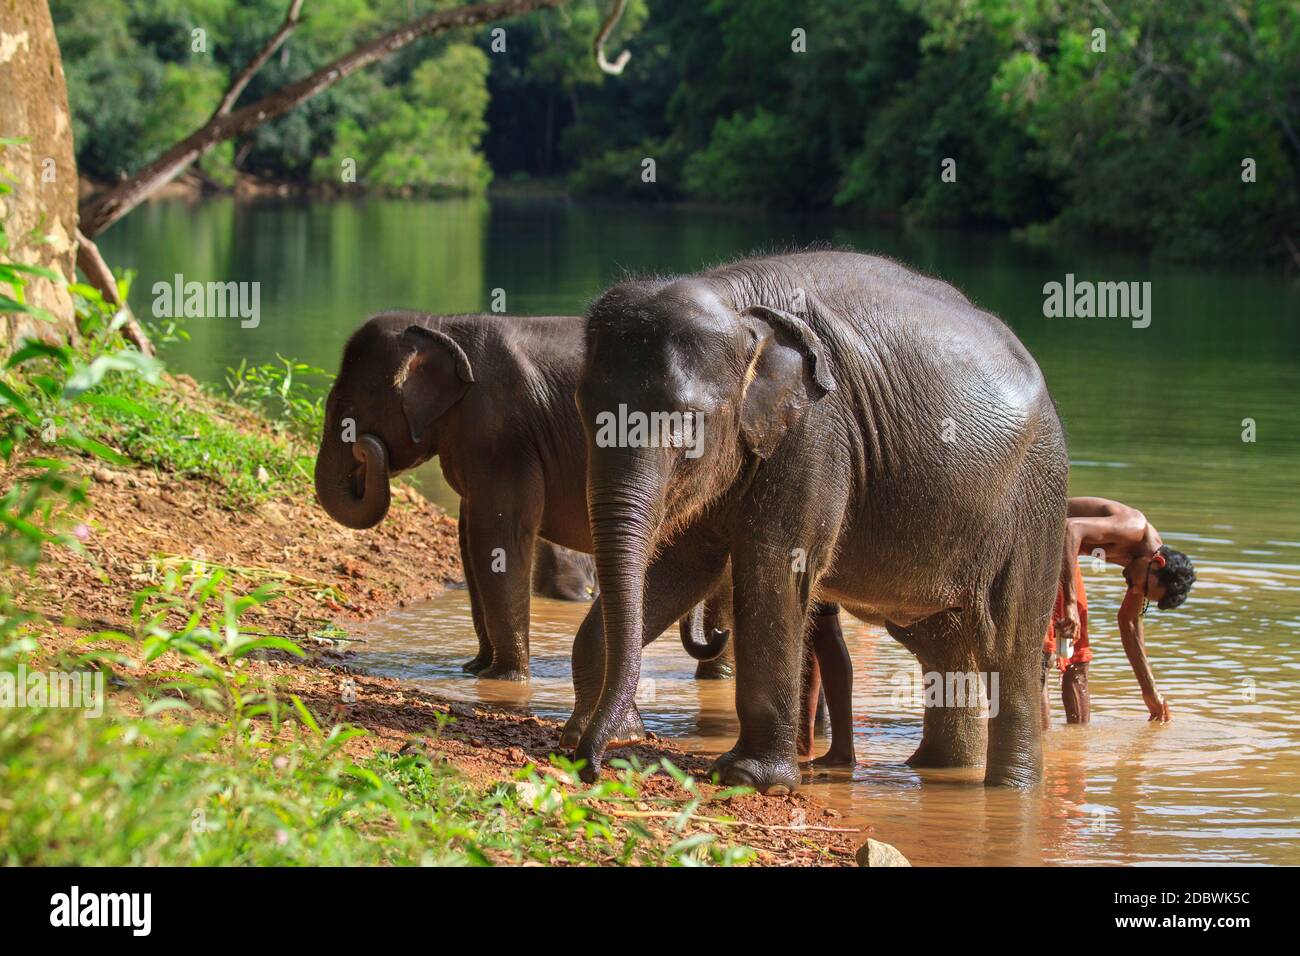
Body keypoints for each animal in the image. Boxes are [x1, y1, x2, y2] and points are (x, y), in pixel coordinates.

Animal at [313, 311, 730, 681]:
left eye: (346, 411)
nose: (366, 448)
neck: (441, 324)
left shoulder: (503, 434)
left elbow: (498, 537)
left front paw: (504, 678)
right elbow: (470, 541)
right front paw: (474, 670)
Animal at [566, 251, 1068, 792]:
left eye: (690, 421)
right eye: (582, 407)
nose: (590, 767)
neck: (735, 304)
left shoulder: (815, 431)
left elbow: (773, 569)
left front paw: (751, 777)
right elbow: (682, 567)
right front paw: (601, 730)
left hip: (1035, 499)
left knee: (1009, 643)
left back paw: (1010, 788)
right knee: (939, 642)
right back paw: (937, 768)